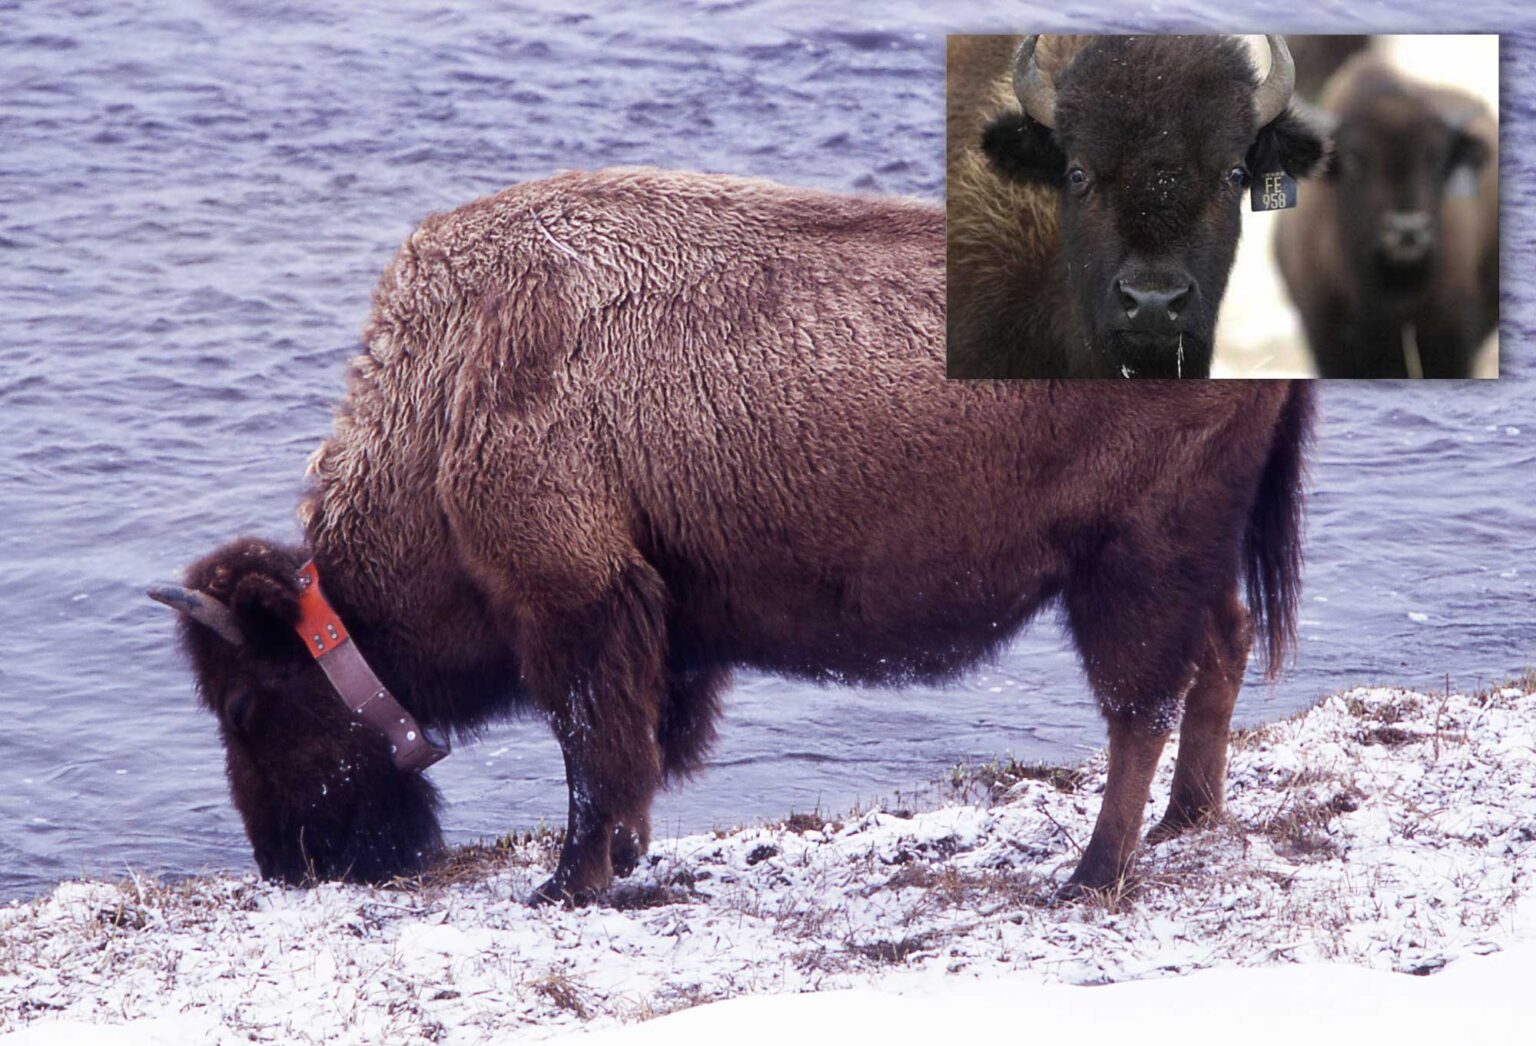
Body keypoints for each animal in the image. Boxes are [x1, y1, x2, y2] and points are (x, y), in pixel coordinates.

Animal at [154, 166, 1312, 904]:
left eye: (247, 702)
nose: (289, 863)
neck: (451, 396)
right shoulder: (649, 620)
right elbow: (630, 748)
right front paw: (621, 859)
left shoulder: (573, 601)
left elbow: (596, 749)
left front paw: (567, 882)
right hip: (1185, 553)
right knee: (1218, 652)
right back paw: (1183, 823)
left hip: (1129, 562)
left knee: (1138, 706)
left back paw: (1090, 874)